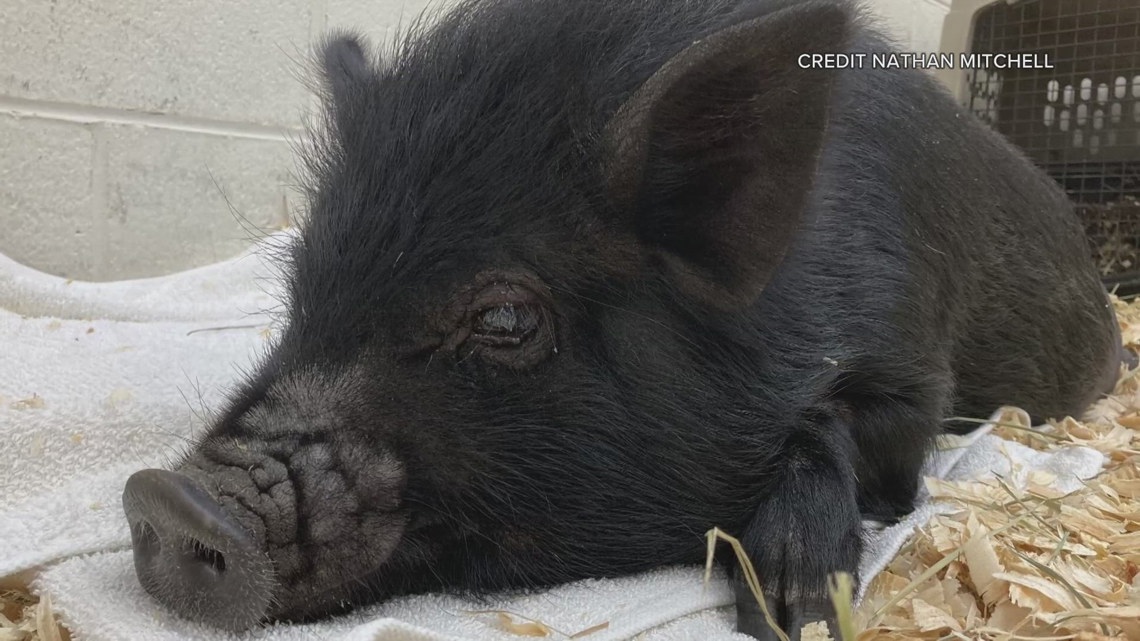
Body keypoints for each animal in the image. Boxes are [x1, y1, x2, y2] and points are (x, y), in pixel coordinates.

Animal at [120, 0, 1127, 638]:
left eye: (504, 317)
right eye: (305, 286)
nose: (167, 498)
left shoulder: (919, 367)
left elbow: (850, 432)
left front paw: (792, 605)